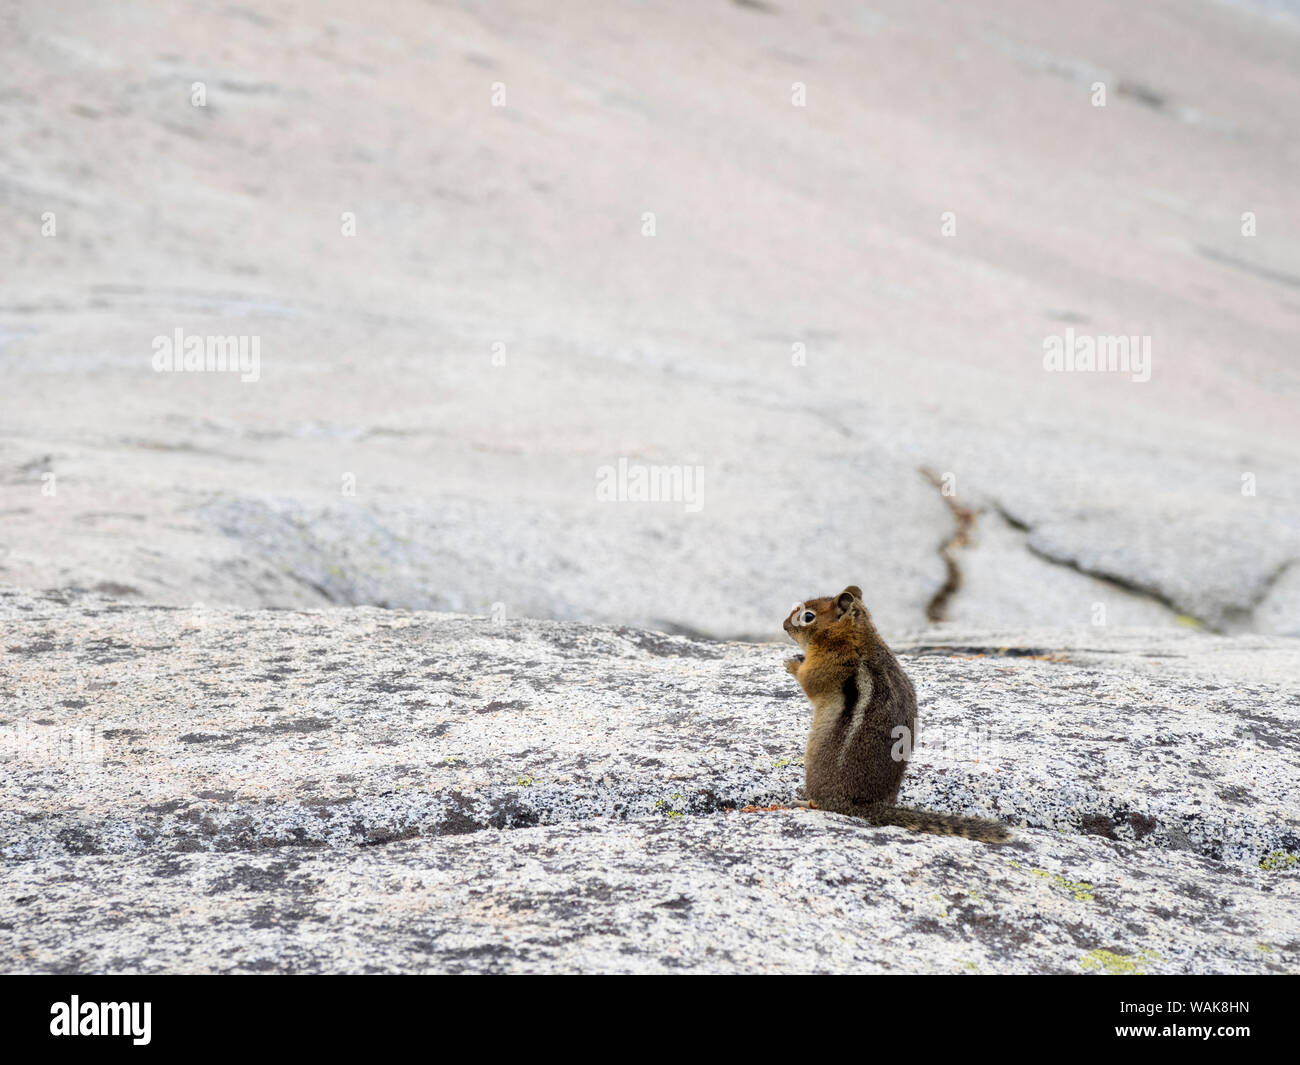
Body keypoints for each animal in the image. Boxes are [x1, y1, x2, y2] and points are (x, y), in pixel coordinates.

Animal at [783, 585, 1010, 843]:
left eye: (808, 616)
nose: (784, 625)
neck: (856, 635)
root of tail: (864, 806)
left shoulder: (827, 664)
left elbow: (808, 682)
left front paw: (792, 664)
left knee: (822, 805)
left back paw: (802, 800)